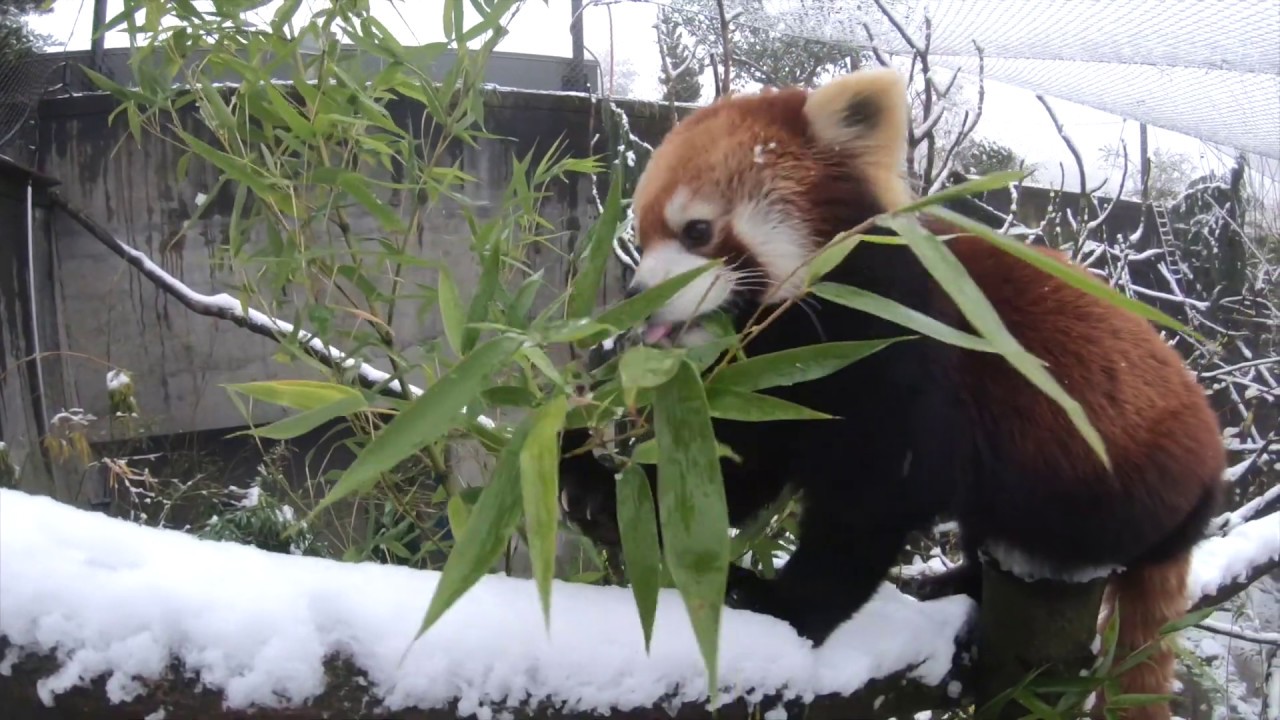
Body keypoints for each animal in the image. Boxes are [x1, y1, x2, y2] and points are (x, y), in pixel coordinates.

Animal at [557, 68, 1224, 720]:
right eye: (642, 236)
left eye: (697, 231)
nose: (637, 299)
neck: (813, 330)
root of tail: (1207, 482)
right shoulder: (776, 384)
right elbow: (725, 471)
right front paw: (597, 487)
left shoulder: (908, 359)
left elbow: (872, 502)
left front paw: (782, 607)